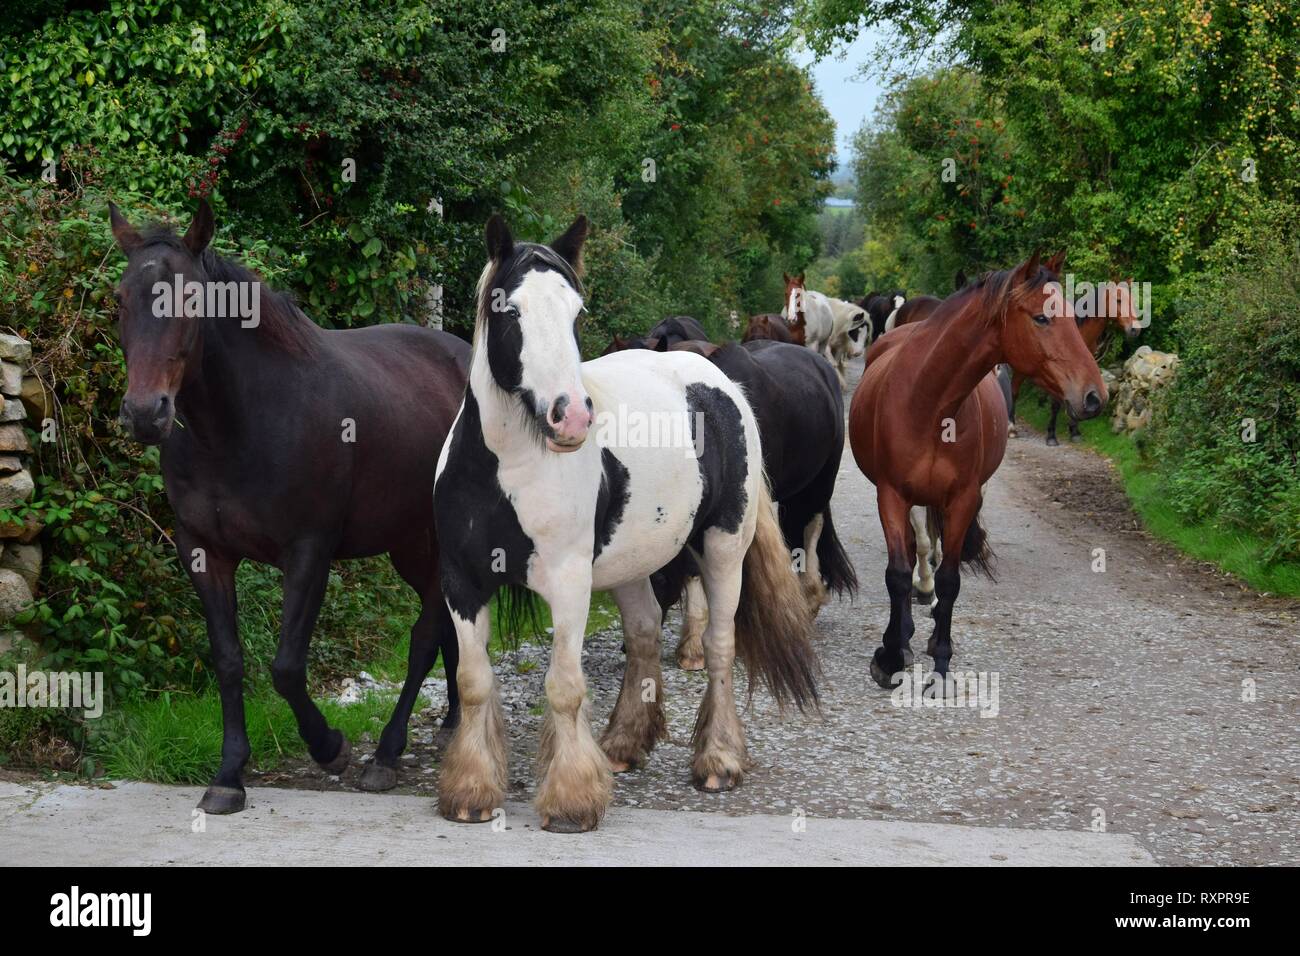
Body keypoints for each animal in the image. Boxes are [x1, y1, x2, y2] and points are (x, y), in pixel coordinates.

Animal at [109, 200, 470, 814]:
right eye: (120, 298)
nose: (144, 414)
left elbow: (285, 667)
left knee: (426, 636)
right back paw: (451, 723)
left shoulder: (308, 554)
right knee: (445, 624)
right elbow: (229, 661)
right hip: (410, 542)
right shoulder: (203, 552)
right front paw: (229, 775)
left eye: (191, 298)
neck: (237, 428)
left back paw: (386, 755)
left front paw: (330, 747)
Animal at [434, 215, 819, 832]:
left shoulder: (568, 582)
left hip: (723, 550)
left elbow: (564, 687)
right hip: (633, 563)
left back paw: (718, 760)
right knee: (642, 635)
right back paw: (622, 746)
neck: (505, 470)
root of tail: (719, 383)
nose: (571, 417)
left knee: (720, 645)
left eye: (575, 313)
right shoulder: (461, 583)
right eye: (509, 310)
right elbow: (473, 683)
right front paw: (471, 791)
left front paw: (570, 800)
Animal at [849, 251, 1106, 687]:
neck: (929, 403)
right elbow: (897, 573)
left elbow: (950, 579)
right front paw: (891, 655)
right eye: (1041, 317)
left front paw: (941, 662)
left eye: (1073, 317)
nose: (1093, 396)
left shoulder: (964, 498)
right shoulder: (891, 495)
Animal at [1010, 279, 1142, 444]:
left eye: (1132, 300)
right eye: (1118, 300)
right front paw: (1051, 435)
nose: (1135, 330)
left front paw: (1074, 431)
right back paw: (1011, 428)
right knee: (1014, 392)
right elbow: (1056, 404)